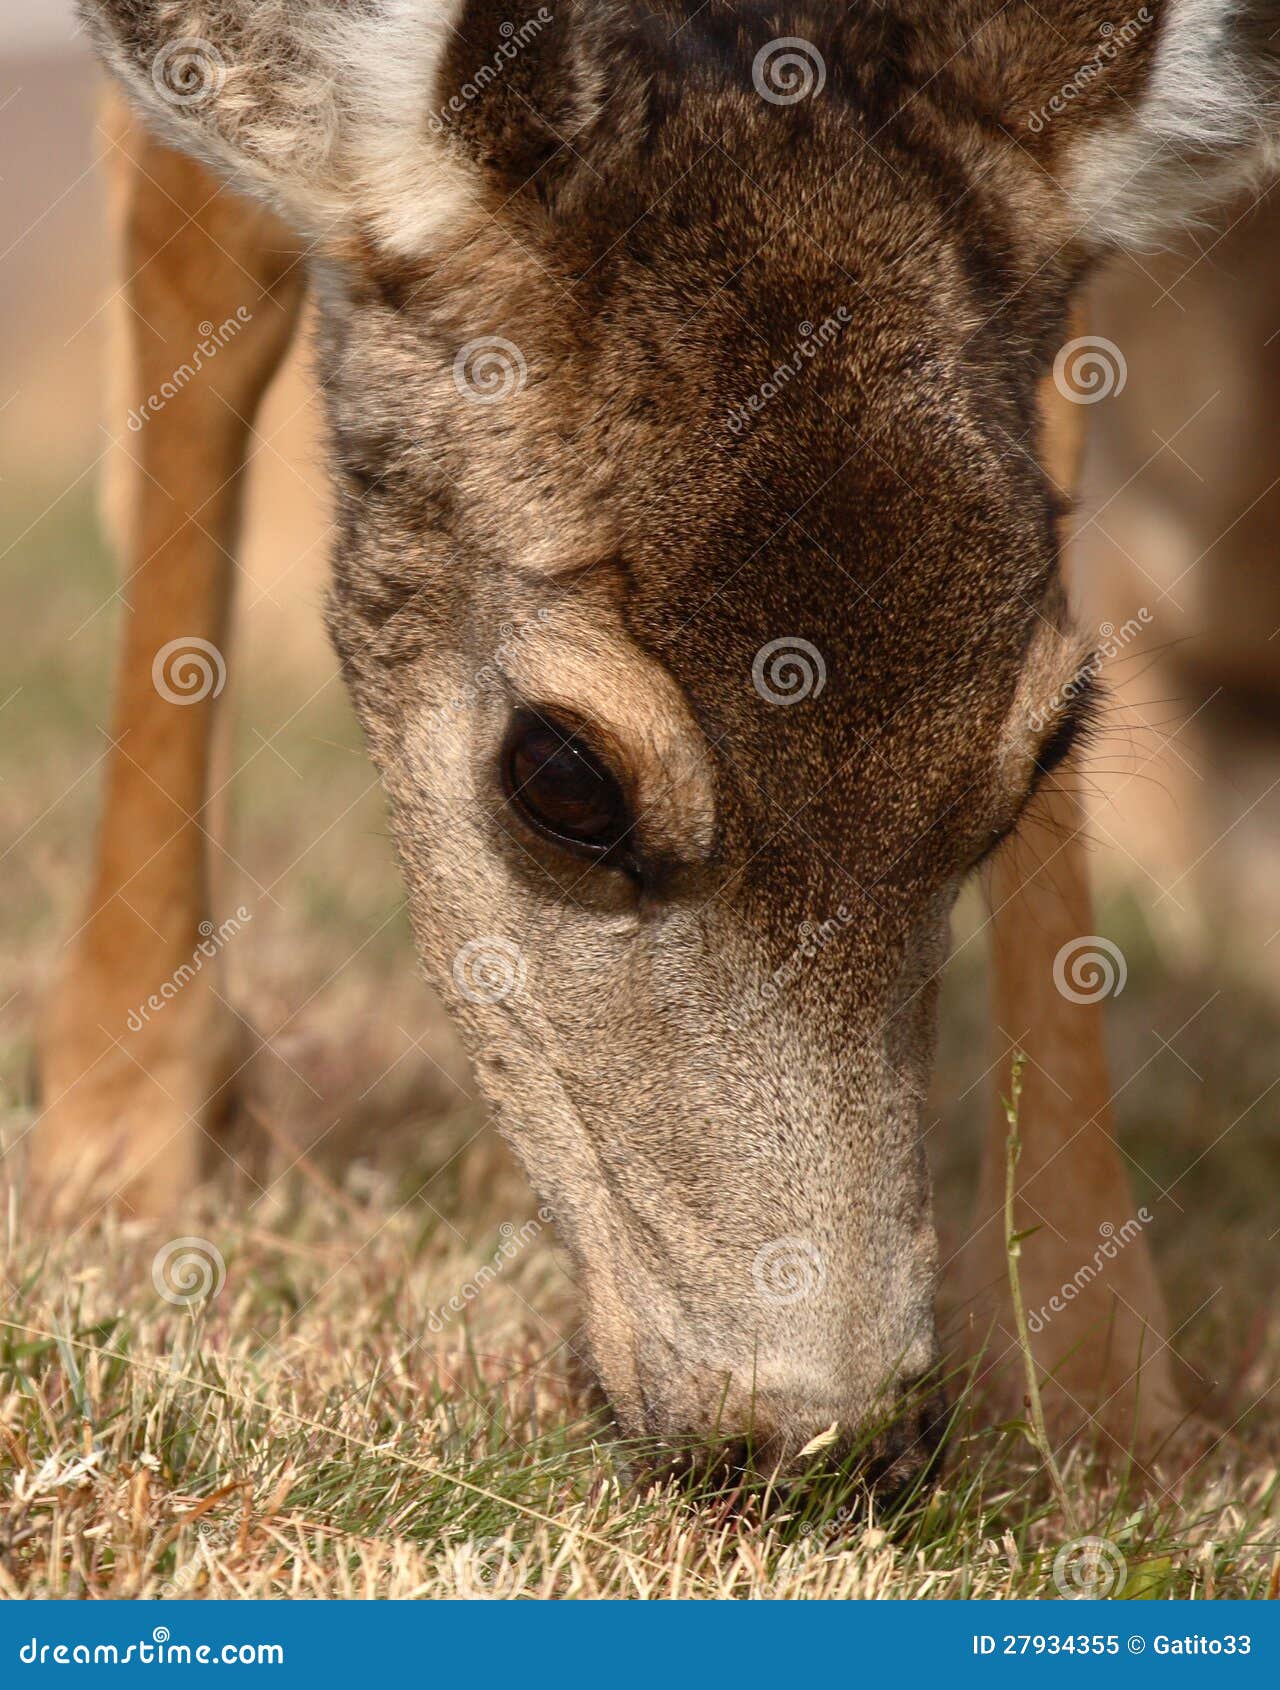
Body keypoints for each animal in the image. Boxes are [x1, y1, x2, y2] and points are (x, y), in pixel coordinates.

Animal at [33, 0, 1280, 1489]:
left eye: (1048, 746)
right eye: (563, 775)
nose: (813, 1433)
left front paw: (1098, 1380)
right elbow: (203, 245)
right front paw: (112, 1143)